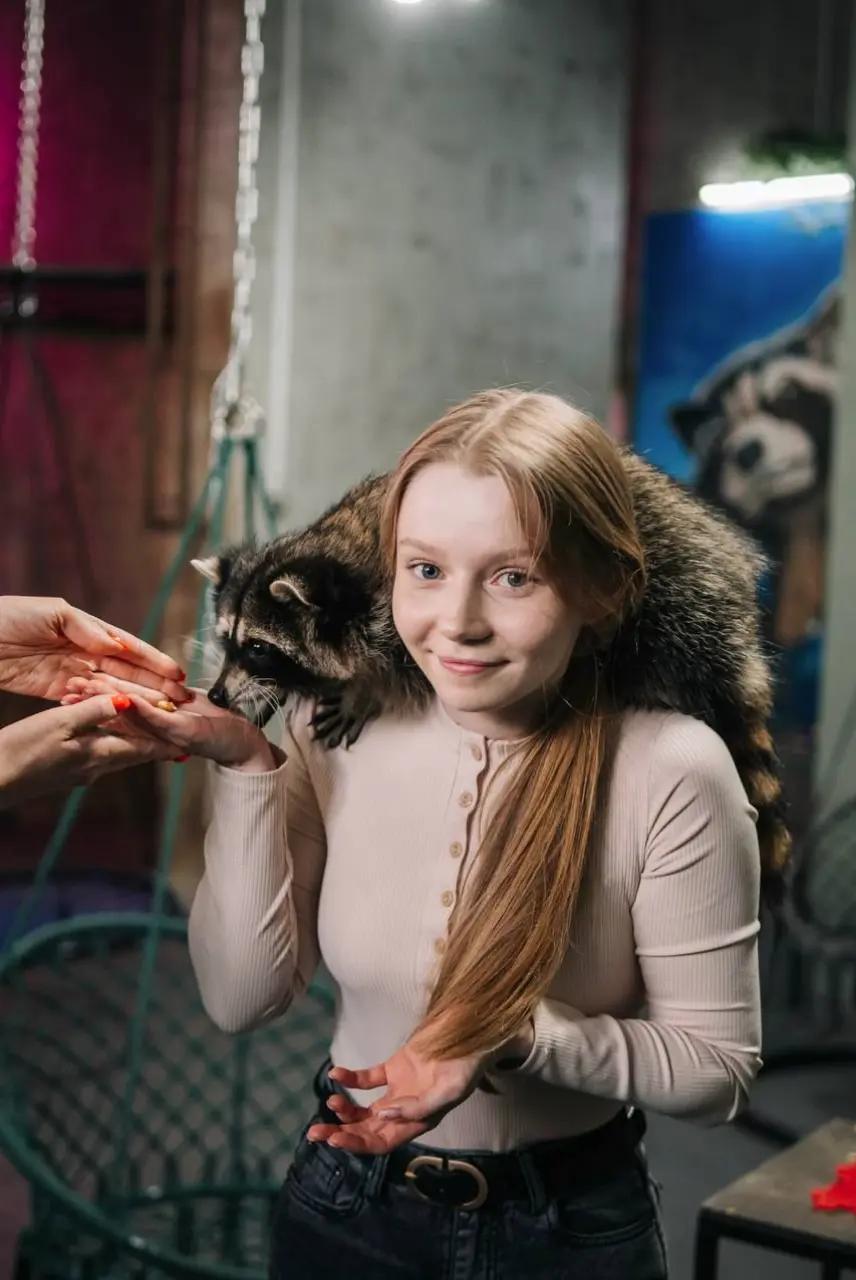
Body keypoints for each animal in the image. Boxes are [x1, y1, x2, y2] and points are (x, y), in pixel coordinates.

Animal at [194, 457, 790, 879]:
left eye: (258, 648)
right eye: (228, 641)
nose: (218, 696)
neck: (341, 559)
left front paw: (368, 691)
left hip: (679, 603)